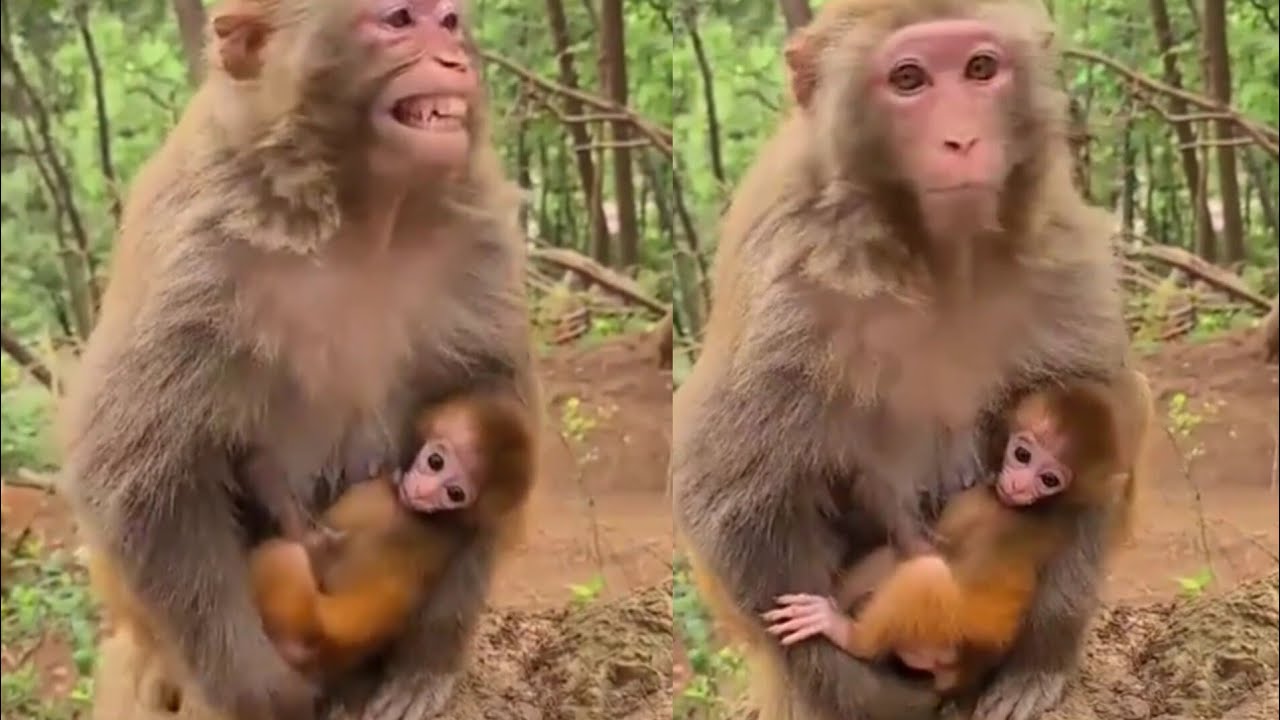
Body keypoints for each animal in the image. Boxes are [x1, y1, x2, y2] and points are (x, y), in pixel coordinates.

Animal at [249, 391, 535, 679]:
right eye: (436, 462)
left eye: (455, 493)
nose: (422, 492)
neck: (433, 518)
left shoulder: (373, 501)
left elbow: (311, 539)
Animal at [763, 370, 1154, 696]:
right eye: (1023, 454)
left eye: (1049, 479)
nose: (1018, 484)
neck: (1041, 507)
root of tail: (961, 669)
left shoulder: (976, 507)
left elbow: (930, 551)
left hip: (939, 633)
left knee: (926, 575)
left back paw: (846, 632)